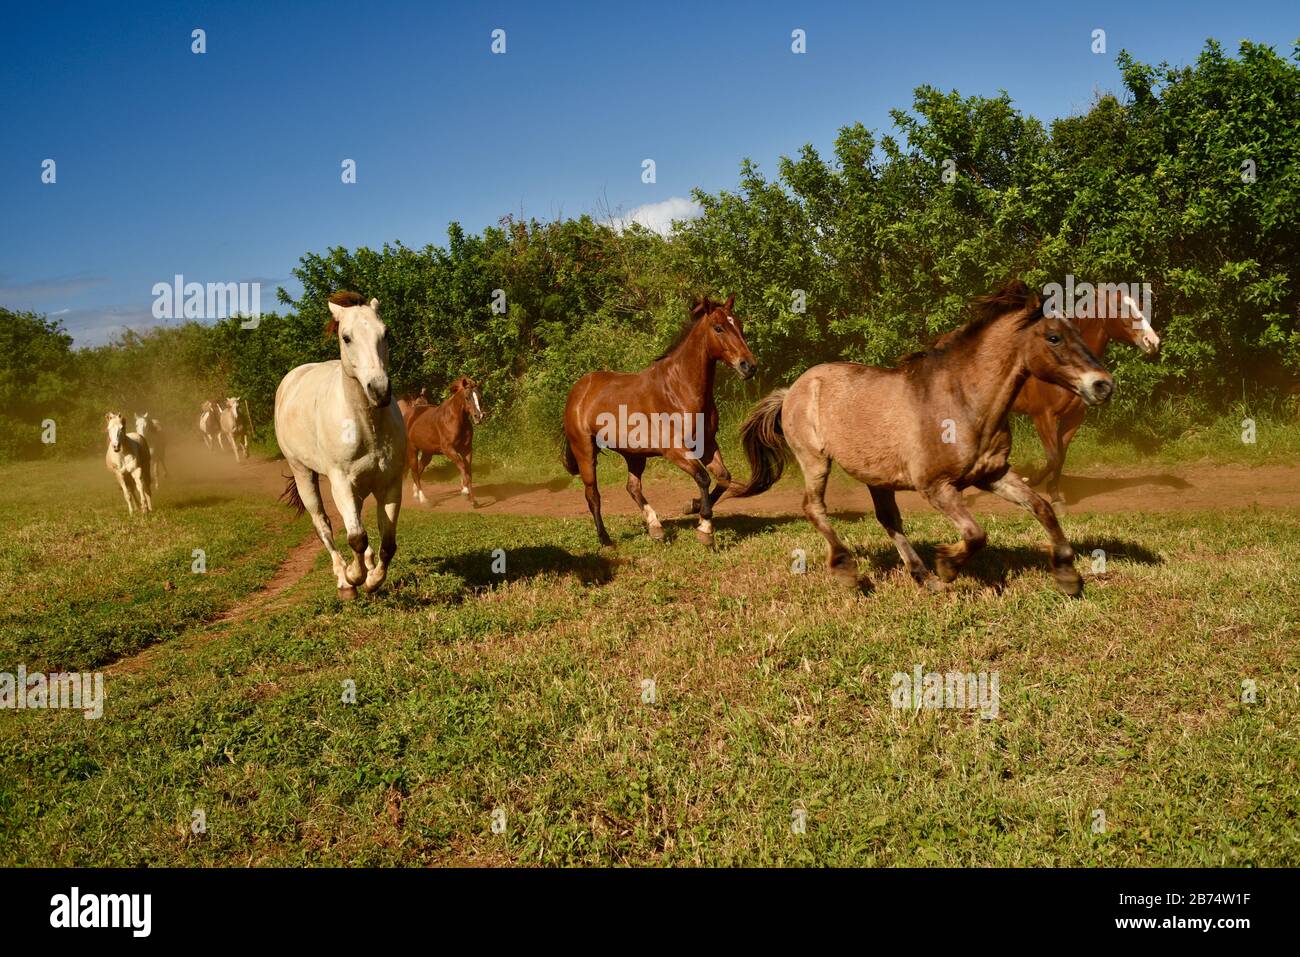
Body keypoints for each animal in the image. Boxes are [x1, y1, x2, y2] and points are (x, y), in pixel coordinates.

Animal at [274, 291, 405, 599]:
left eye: (386, 333)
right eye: (347, 337)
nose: (379, 390)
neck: (367, 428)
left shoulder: (391, 484)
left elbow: (387, 542)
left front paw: (373, 579)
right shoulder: (341, 483)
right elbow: (355, 537)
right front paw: (355, 578)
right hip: (303, 474)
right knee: (323, 525)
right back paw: (343, 580)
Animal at [404, 376, 485, 506]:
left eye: (479, 396)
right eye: (467, 397)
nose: (479, 416)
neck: (455, 420)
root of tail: (409, 415)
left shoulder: (467, 450)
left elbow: (468, 470)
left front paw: (473, 500)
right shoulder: (448, 449)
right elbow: (462, 466)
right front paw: (465, 491)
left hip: (427, 453)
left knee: (419, 469)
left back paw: (416, 494)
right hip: (412, 449)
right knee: (415, 472)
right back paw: (423, 499)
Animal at [562, 295, 757, 547]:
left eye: (740, 325)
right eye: (718, 328)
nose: (749, 366)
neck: (678, 388)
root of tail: (578, 390)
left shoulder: (706, 444)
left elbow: (723, 478)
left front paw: (693, 507)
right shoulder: (674, 449)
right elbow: (703, 477)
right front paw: (705, 528)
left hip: (634, 455)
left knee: (633, 487)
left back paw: (655, 527)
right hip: (585, 450)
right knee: (592, 494)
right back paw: (606, 540)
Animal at [733, 281, 1113, 597]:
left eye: (1076, 332)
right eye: (1053, 337)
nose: (1103, 385)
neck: (962, 402)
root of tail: (791, 390)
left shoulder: (993, 475)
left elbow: (1042, 508)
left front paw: (1068, 577)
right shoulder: (935, 487)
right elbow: (975, 534)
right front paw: (947, 565)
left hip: (877, 477)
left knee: (888, 520)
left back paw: (922, 577)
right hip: (814, 460)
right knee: (814, 508)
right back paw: (849, 572)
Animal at [1015, 285, 1160, 503]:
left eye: (1141, 305)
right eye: (1119, 307)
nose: (1152, 341)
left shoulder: (1073, 418)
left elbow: (1061, 456)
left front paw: (1055, 494)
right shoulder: (1043, 416)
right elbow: (1053, 457)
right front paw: (1030, 481)